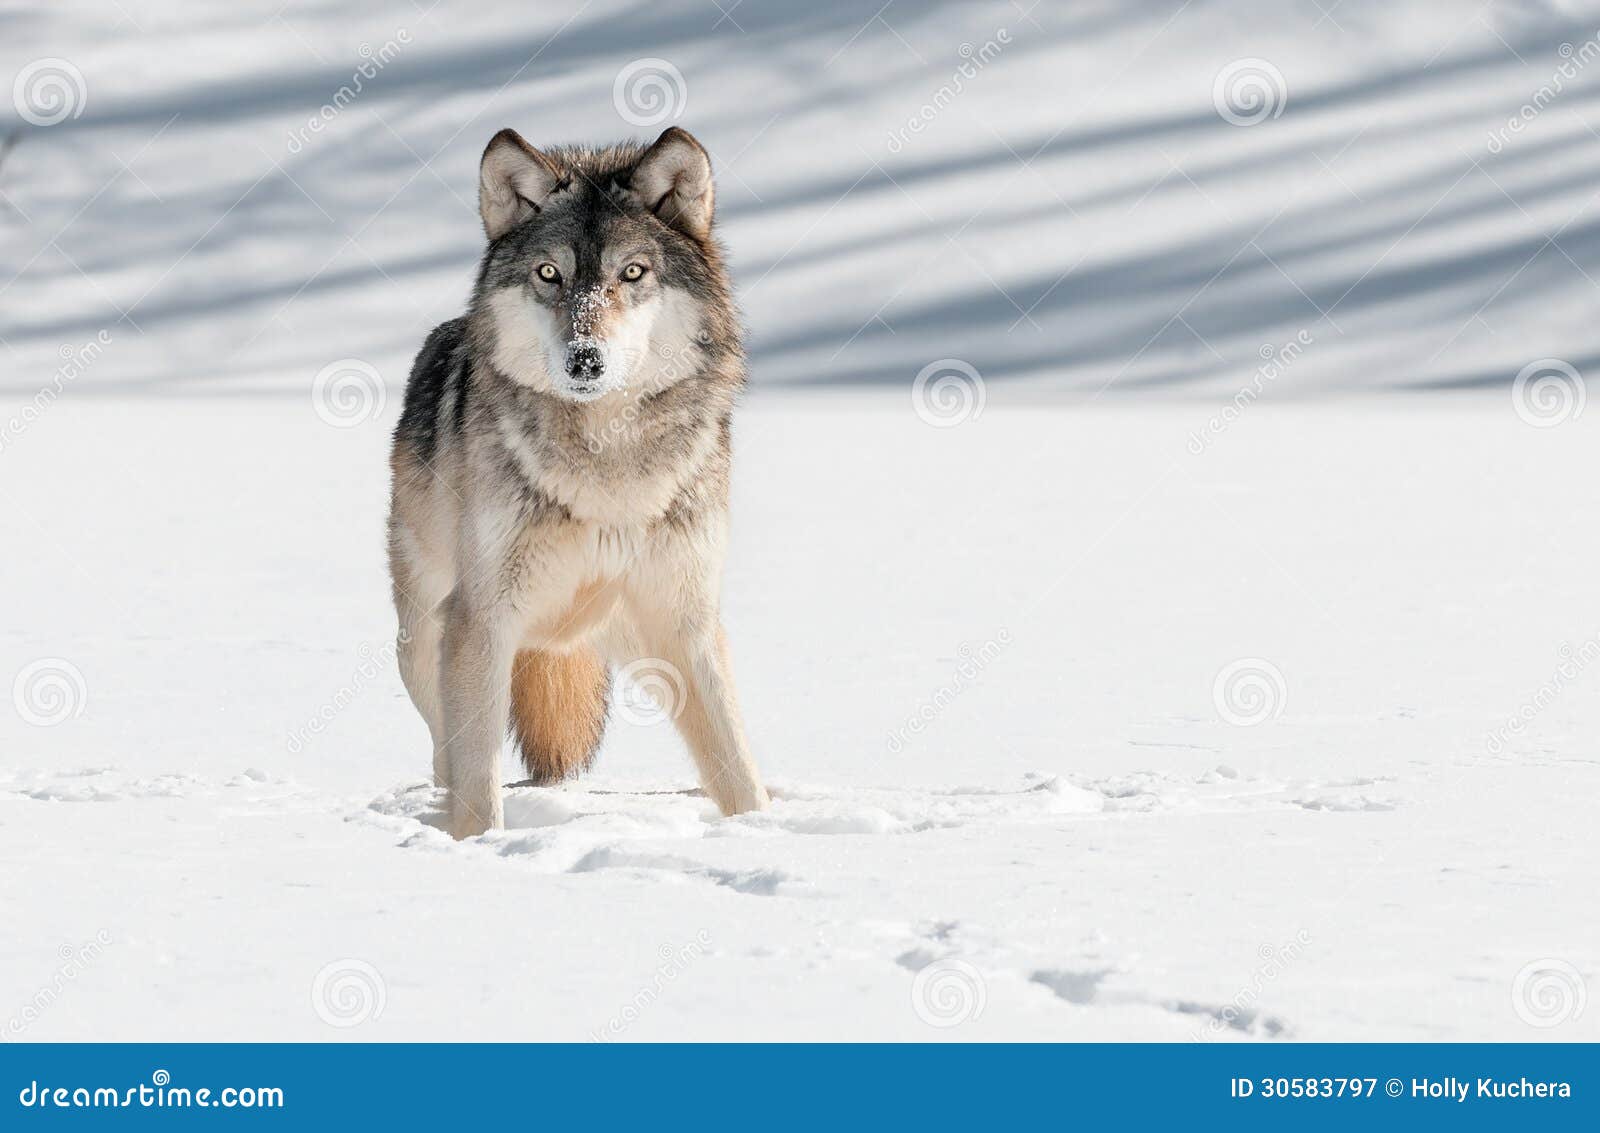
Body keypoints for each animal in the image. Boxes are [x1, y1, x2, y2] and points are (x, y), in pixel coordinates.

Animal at [387, 126, 769, 839]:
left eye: (632, 272)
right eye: (549, 274)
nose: (584, 359)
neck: (606, 463)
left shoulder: (689, 623)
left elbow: (737, 769)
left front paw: (763, 833)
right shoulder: (480, 623)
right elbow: (478, 787)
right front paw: (479, 848)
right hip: (424, 641)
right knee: (446, 759)